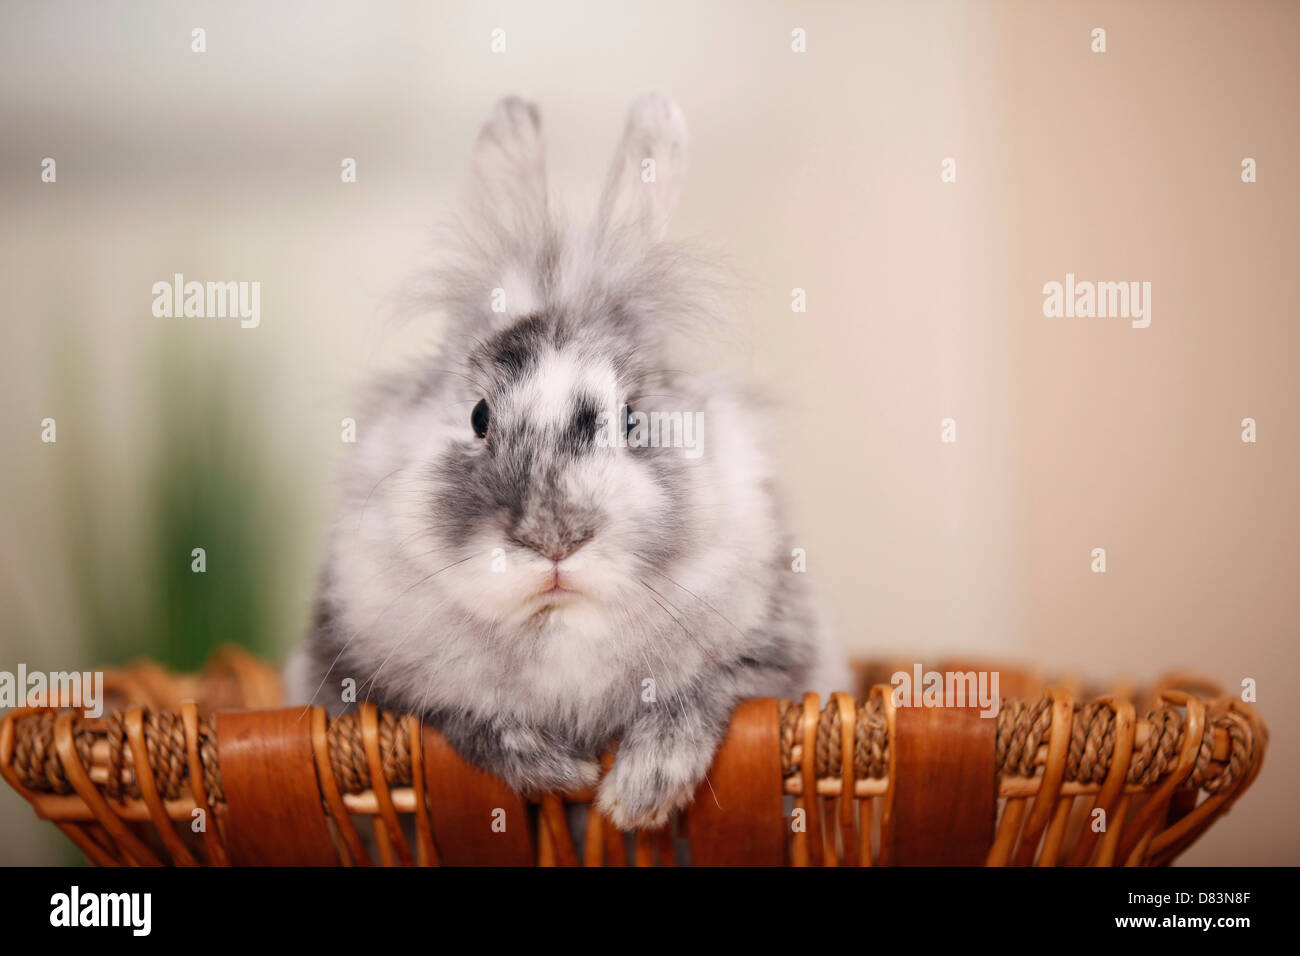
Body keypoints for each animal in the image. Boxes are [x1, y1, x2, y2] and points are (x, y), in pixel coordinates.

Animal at [287, 93, 849, 831]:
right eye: (479, 416)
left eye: (632, 417)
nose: (555, 538)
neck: (559, 634)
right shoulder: (384, 694)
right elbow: (465, 720)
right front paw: (560, 771)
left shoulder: (764, 665)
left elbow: (700, 700)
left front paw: (638, 795)